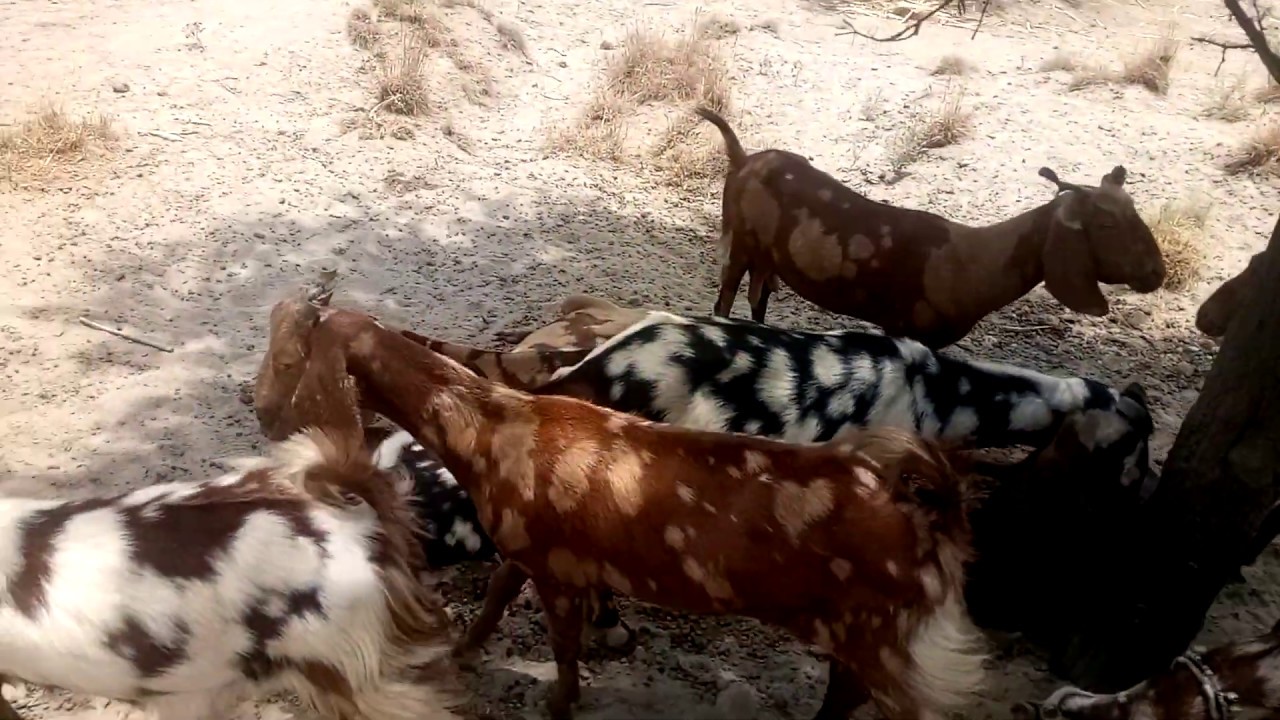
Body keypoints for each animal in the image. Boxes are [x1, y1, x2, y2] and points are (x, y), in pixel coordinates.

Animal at [255, 293, 990, 720]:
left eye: (292, 359)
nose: (262, 413)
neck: (491, 431)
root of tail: (931, 510)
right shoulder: (532, 550)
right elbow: (496, 597)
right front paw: (461, 651)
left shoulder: (558, 570)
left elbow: (563, 650)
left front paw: (558, 704)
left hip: (873, 630)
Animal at [693, 107, 1167, 349]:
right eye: (1106, 223)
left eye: (1135, 211)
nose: (1157, 273)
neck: (972, 261)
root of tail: (743, 158)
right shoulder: (908, 330)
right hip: (740, 242)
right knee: (725, 297)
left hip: (766, 255)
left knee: (758, 296)